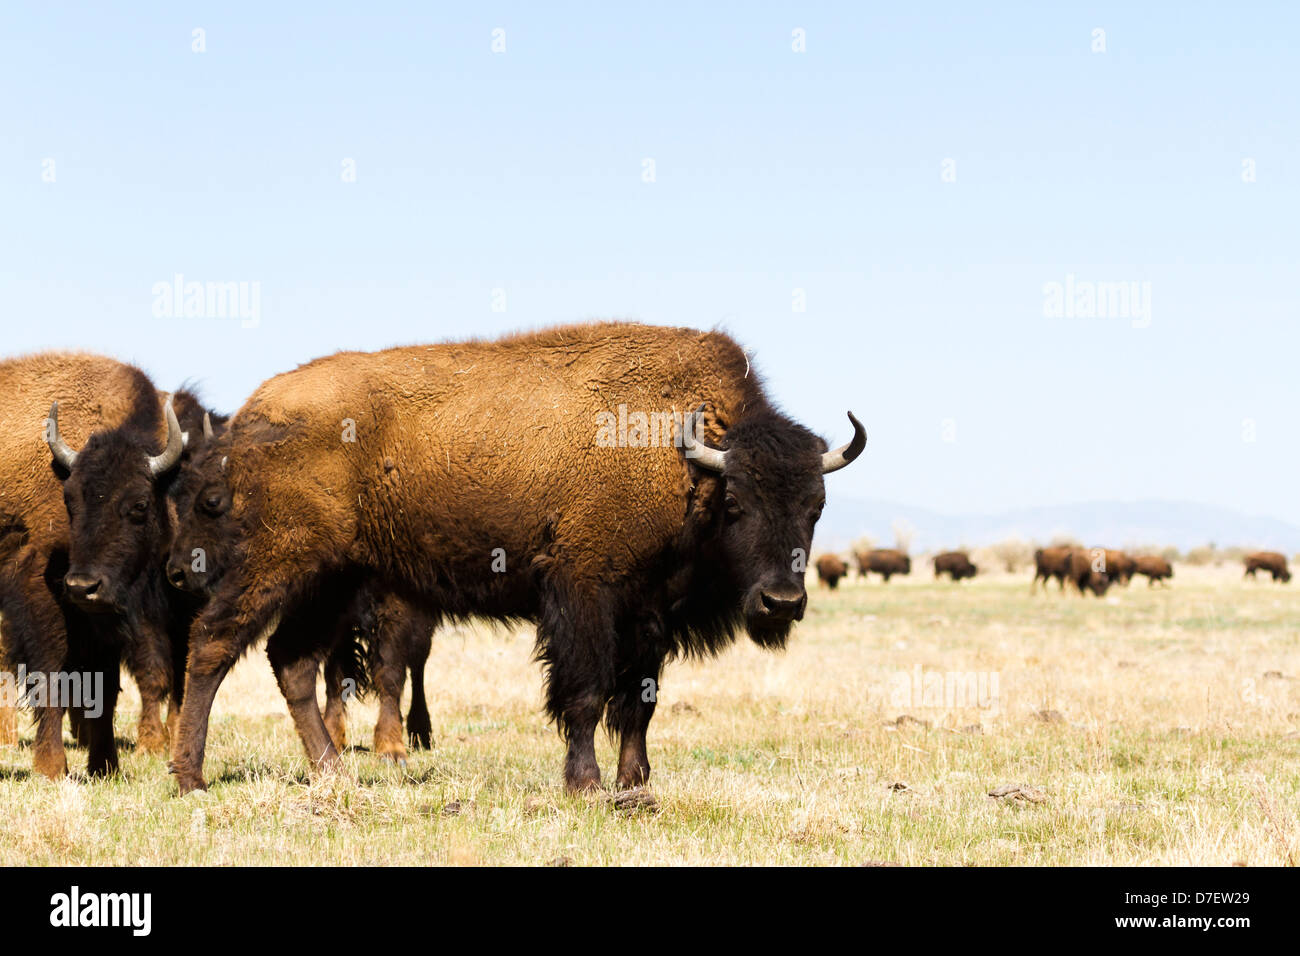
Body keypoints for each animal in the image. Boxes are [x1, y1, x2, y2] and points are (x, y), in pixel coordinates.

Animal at [167, 322, 866, 794]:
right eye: (737, 504)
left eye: (816, 507)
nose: (782, 602)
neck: (684, 457)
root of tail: (252, 414)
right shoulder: (585, 594)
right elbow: (586, 693)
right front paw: (586, 784)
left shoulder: (650, 613)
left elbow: (639, 701)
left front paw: (636, 784)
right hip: (277, 563)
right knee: (214, 642)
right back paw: (191, 777)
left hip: (334, 579)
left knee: (292, 659)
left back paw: (334, 772)